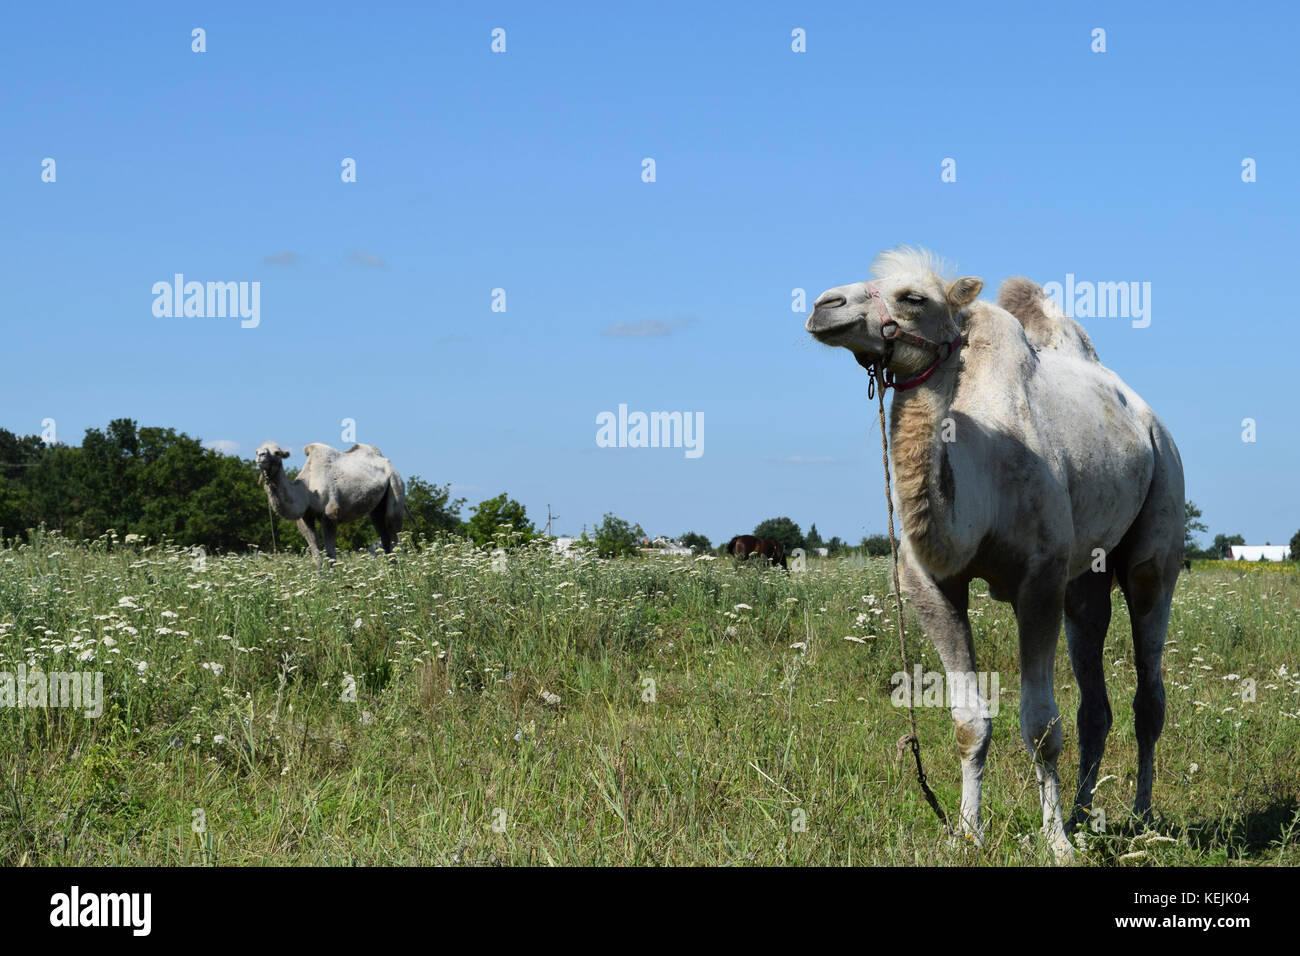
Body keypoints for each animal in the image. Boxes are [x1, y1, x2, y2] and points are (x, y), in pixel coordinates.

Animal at [255, 440, 406, 563]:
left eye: (277, 453)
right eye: (256, 451)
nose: (260, 456)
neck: (306, 492)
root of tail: (388, 463)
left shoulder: (330, 514)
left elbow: (331, 555)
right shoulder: (304, 518)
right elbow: (316, 555)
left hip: (395, 484)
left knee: (394, 532)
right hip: (377, 507)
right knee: (384, 535)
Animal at [805, 247, 1184, 860]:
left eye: (914, 297)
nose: (823, 305)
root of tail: (1149, 421)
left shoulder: (1039, 580)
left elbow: (1041, 725)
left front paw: (1056, 845)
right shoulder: (932, 584)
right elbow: (969, 721)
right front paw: (965, 833)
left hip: (1159, 525)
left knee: (1148, 687)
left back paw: (1141, 816)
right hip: (1085, 577)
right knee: (1094, 699)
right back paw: (1084, 814)